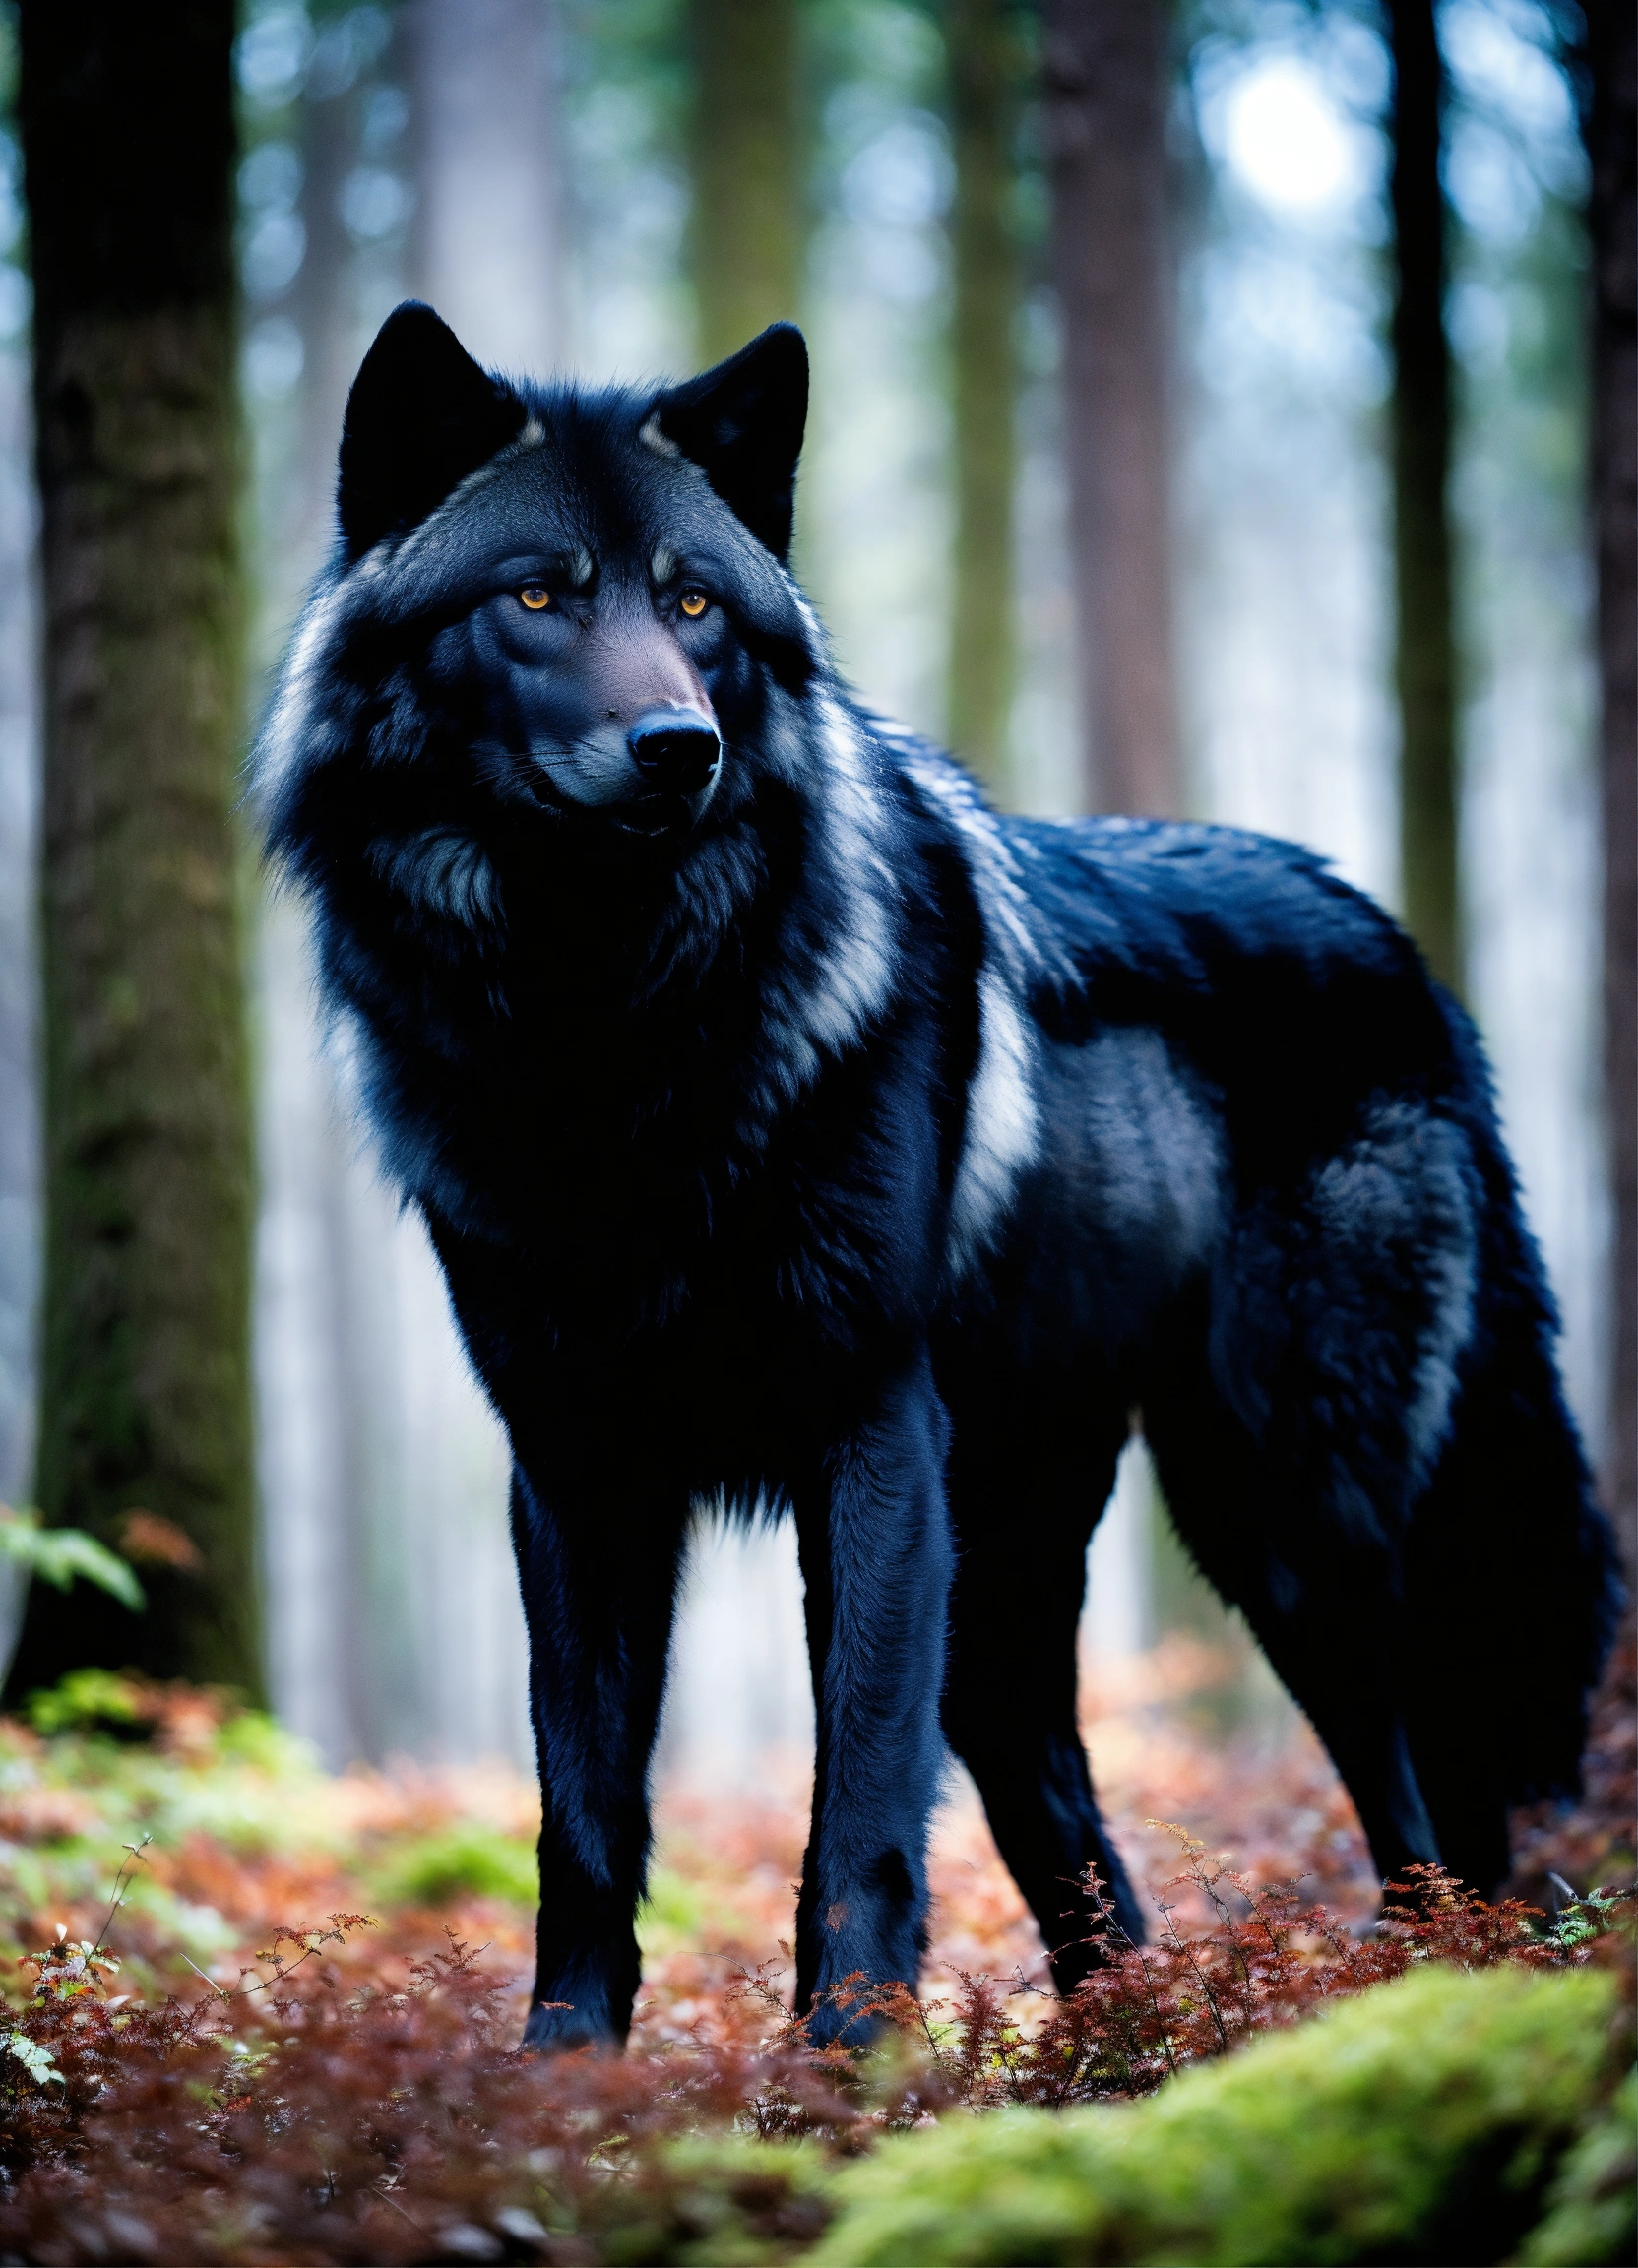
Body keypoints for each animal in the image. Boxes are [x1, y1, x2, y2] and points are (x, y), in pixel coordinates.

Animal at [257, 304, 1622, 2049]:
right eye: (538, 596)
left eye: (694, 606)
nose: (679, 747)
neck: (615, 1035)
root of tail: (1401, 950)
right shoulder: (572, 1465)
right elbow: (584, 1810)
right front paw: (562, 2074)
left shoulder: (869, 1425)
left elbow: (856, 1801)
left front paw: (850, 2065)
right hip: (1024, 1579)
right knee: (1088, 1843)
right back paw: (1132, 2051)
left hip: (1282, 1520)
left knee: (1418, 1777)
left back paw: (1407, 1989)